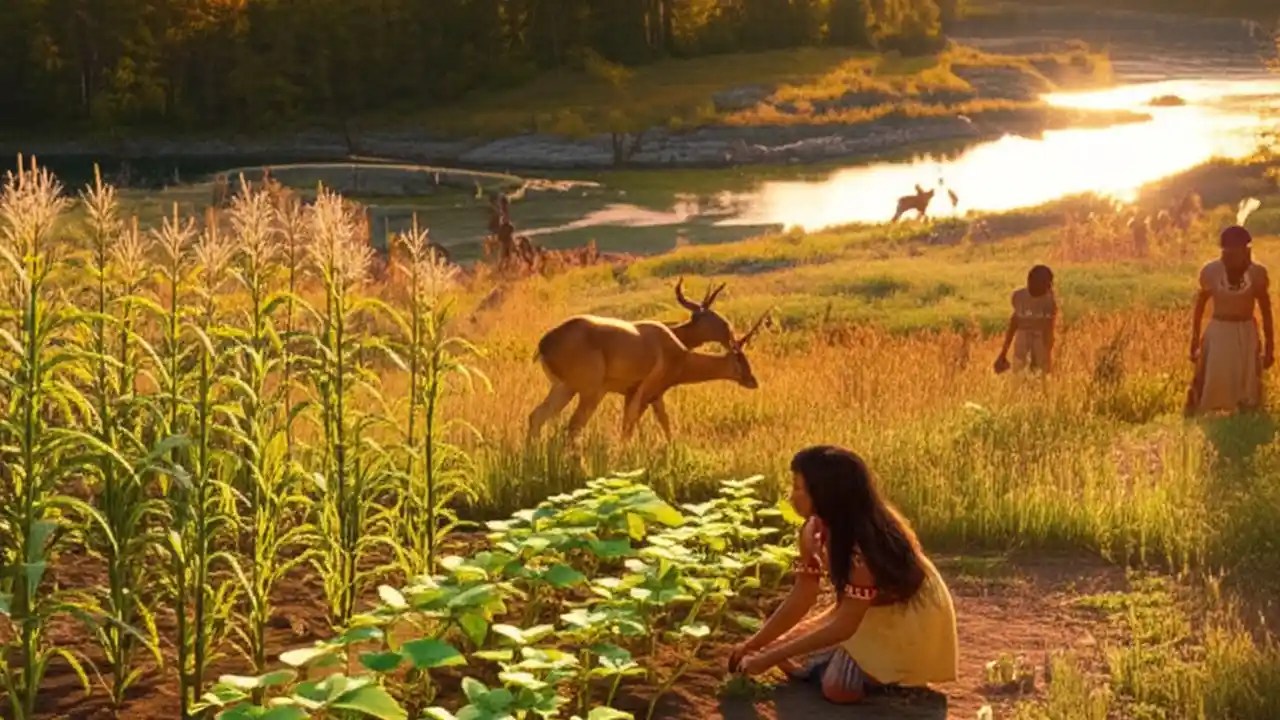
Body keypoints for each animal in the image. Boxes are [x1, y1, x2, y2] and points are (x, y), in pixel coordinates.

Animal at [527, 310, 769, 443]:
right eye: (740, 359)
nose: (753, 381)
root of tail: (545, 342)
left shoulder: (653, 397)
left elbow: (664, 423)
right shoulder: (642, 394)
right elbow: (629, 427)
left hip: (564, 389)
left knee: (536, 417)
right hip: (590, 393)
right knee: (574, 426)